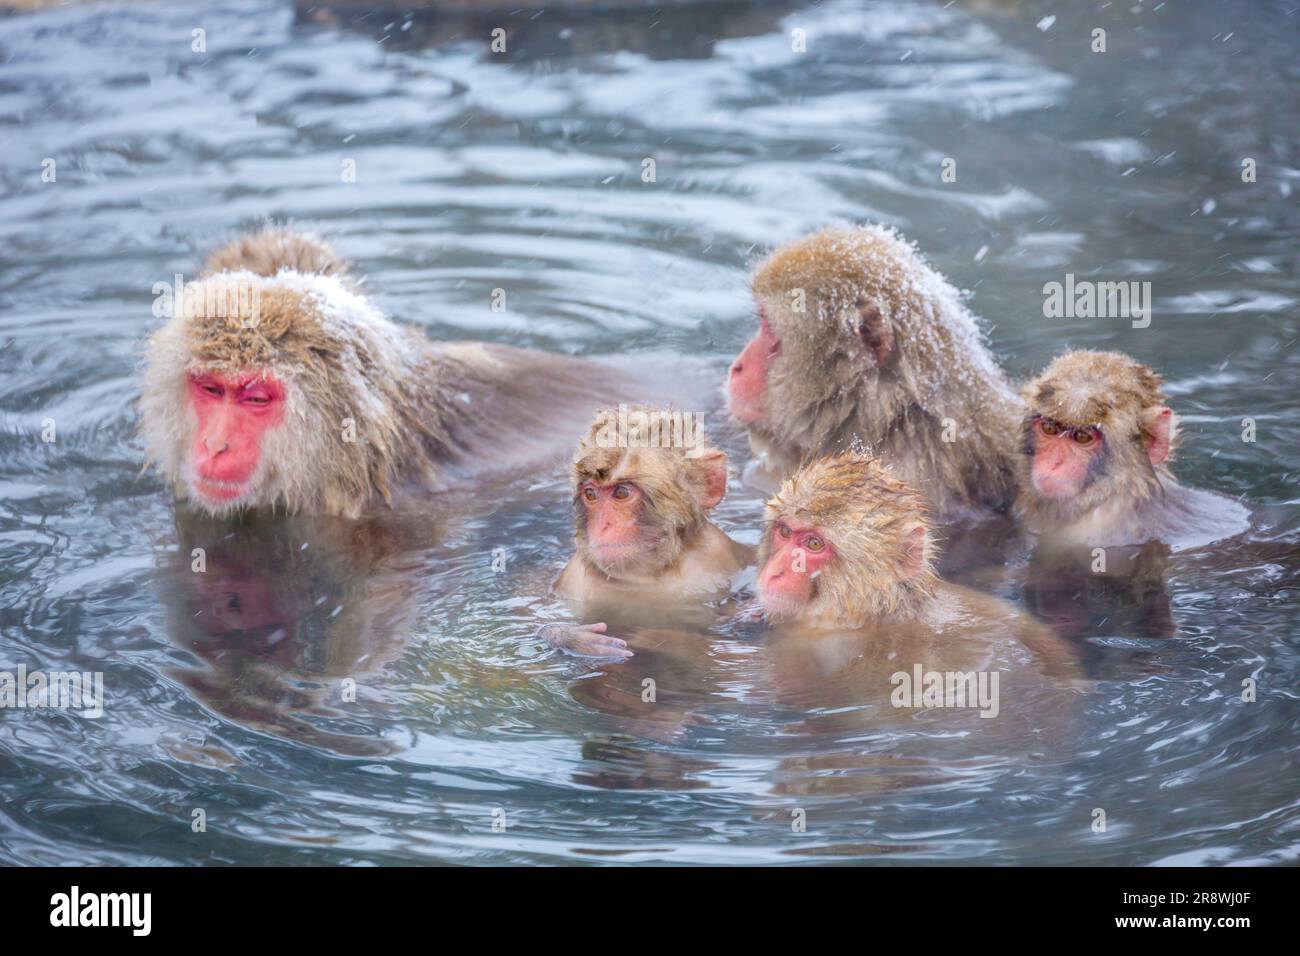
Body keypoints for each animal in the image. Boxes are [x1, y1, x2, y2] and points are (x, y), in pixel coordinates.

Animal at [540, 405, 755, 658]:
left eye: (622, 492)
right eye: (590, 494)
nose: (602, 526)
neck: (653, 574)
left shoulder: (718, 548)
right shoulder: (576, 582)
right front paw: (575, 638)